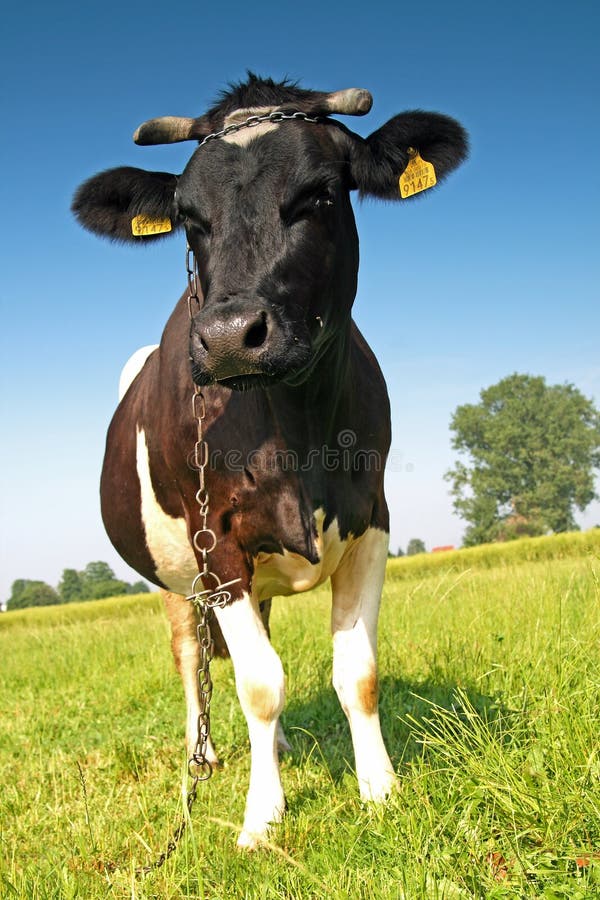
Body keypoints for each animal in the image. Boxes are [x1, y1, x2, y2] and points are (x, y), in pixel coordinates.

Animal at [72, 74, 468, 849]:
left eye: (319, 193)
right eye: (189, 217)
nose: (228, 336)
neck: (295, 429)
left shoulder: (372, 517)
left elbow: (358, 672)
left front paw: (379, 789)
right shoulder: (216, 544)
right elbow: (258, 685)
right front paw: (261, 818)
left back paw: (278, 750)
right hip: (173, 575)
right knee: (191, 656)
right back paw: (206, 755)